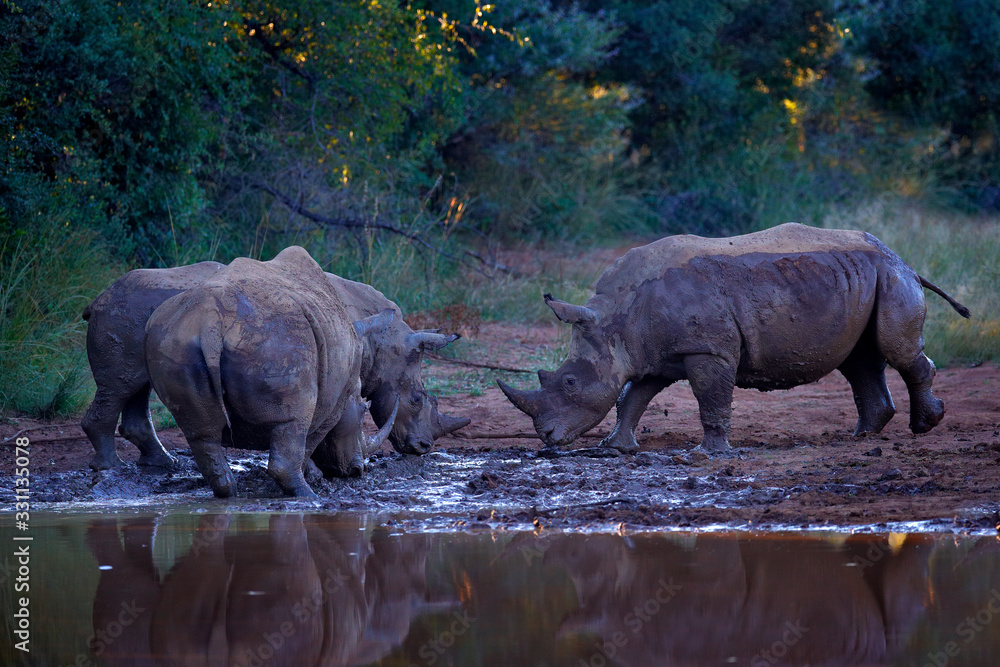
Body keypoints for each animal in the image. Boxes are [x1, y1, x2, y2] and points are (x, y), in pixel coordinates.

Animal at [81, 257, 468, 471]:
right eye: (416, 400)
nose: (423, 448)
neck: (383, 343)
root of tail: (100, 296)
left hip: (142, 319)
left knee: (136, 387)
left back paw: (163, 465)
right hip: (124, 311)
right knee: (119, 386)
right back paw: (111, 468)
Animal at [144, 246, 397, 497]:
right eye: (364, 410)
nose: (357, 470)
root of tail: (210, 323)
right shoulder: (335, 401)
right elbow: (310, 438)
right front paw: (314, 476)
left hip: (175, 341)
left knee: (202, 434)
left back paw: (228, 494)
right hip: (276, 339)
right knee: (294, 419)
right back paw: (307, 496)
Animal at [499, 223, 971, 454]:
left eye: (569, 382)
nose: (547, 437)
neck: (614, 321)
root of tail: (904, 260)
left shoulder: (707, 349)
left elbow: (710, 397)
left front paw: (707, 454)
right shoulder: (656, 353)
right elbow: (633, 396)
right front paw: (615, 448)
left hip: (889, 276)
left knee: (895, 351)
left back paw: (925, 425)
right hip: (860, 278)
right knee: (859, 361)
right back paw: (861, 436)